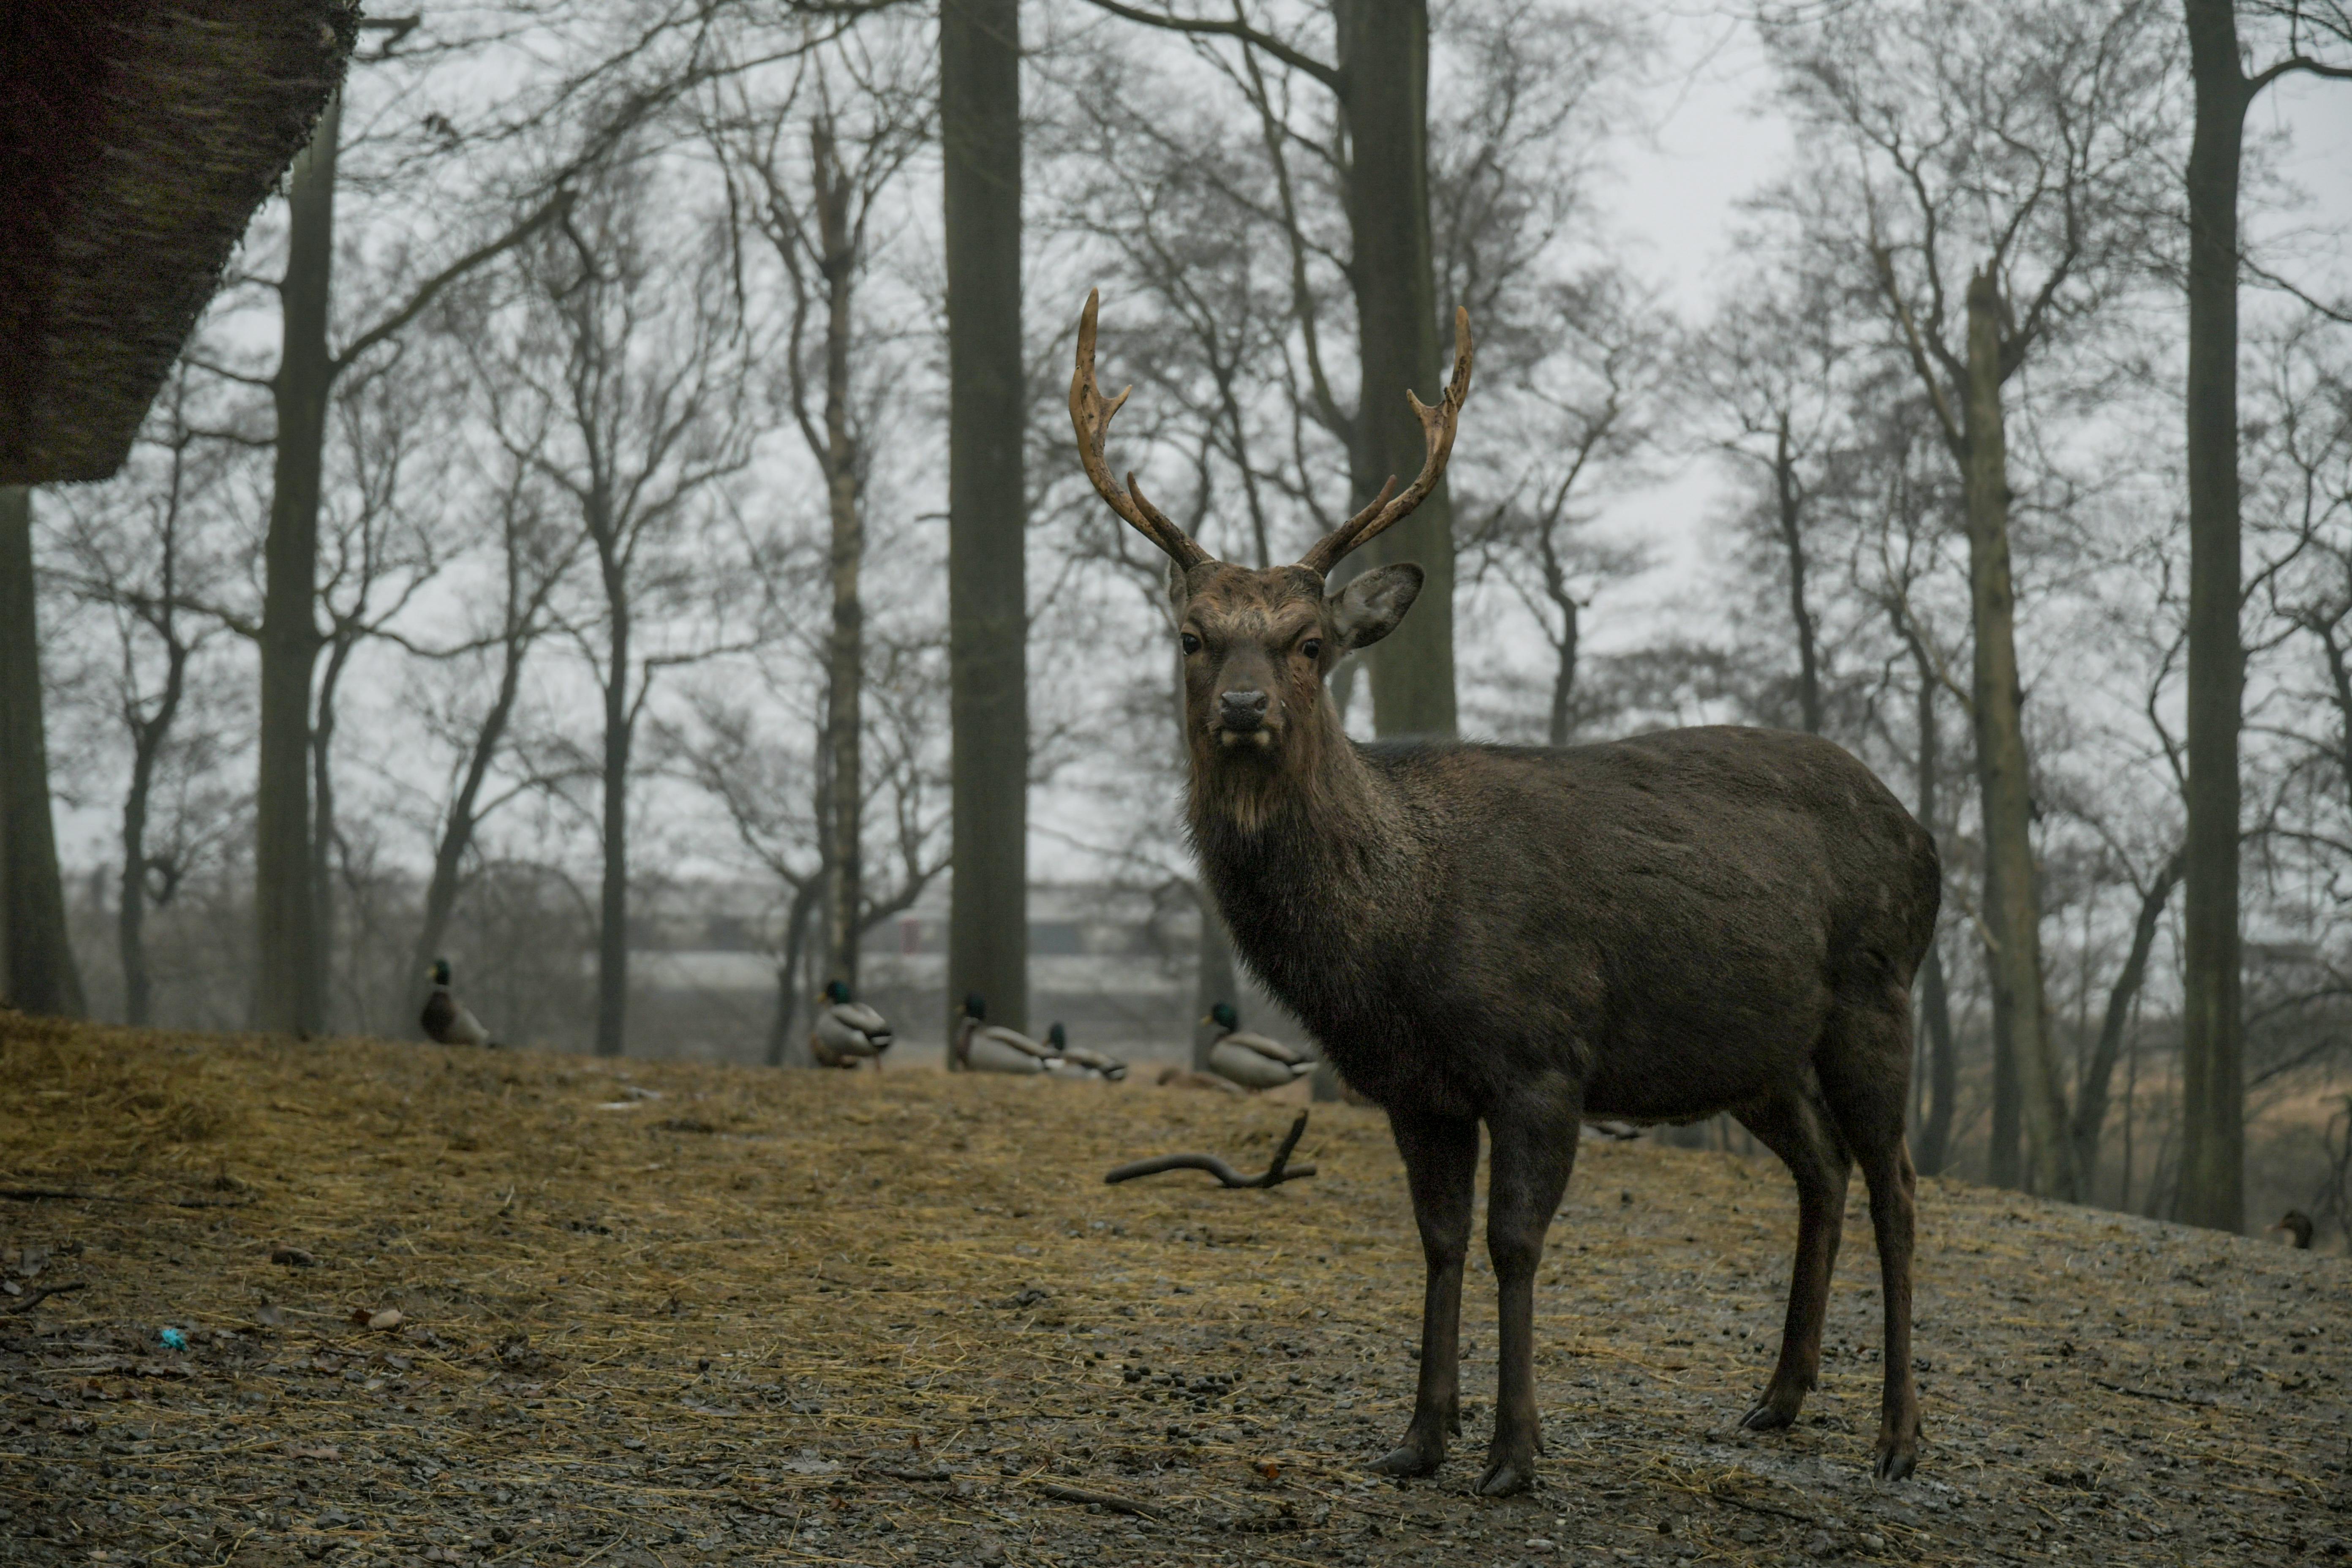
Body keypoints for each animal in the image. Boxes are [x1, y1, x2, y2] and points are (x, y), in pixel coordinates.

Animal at [1068, 291, 1939, 1493]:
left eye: (1309, 643)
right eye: (1193, 637)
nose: (1243, 707)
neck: (1395, 938)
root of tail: (1925, 838)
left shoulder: (1542, 1054)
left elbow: (1513, 1242)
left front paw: (1514, 1452)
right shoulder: (1414, 1086)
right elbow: (1438, 1241)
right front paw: (1418, 1438)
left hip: (1876, 994)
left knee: (1897, 1182)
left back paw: (1898, 1437)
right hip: (1753, 1050)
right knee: (1823, 1169)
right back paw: (1776, 1398)